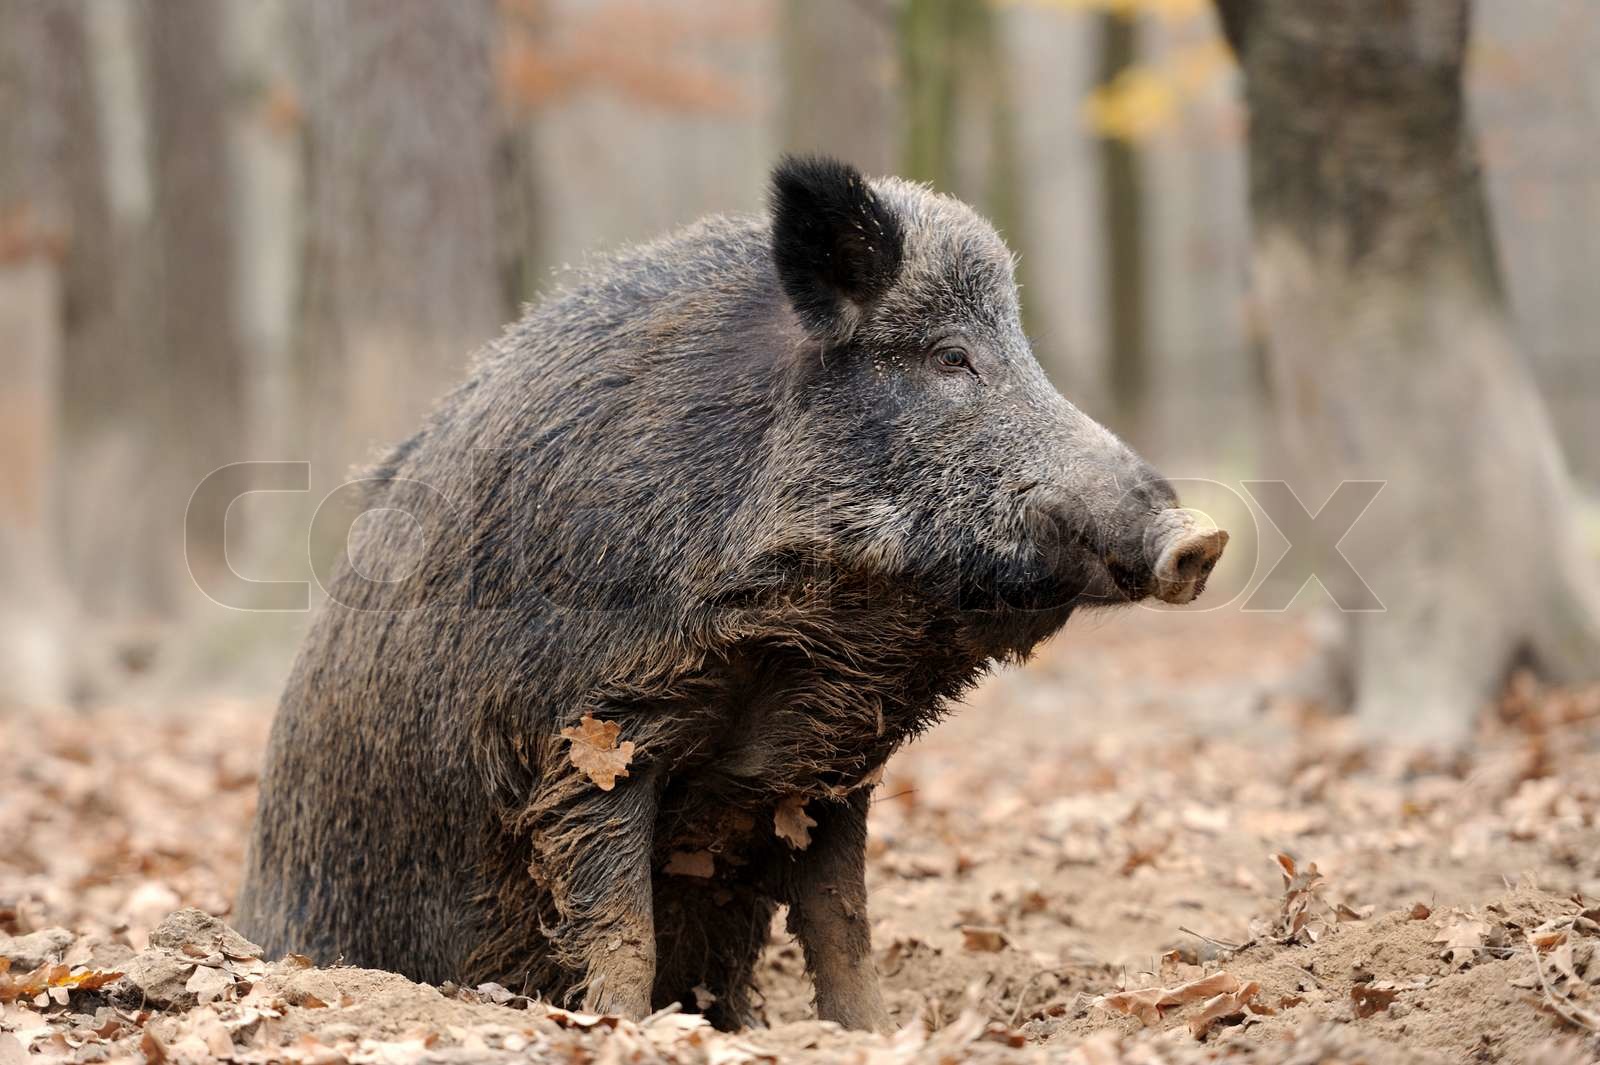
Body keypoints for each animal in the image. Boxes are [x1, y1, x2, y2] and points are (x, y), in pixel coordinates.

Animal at [235, 157, 1226, 1031]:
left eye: (1024, 354)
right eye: (952, 357)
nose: (1202, 538)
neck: (810, 643)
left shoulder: (831, 768)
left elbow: (844, 927)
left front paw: (866, 1033)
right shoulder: (592, 732)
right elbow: (624, 926)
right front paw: (626, 1027)